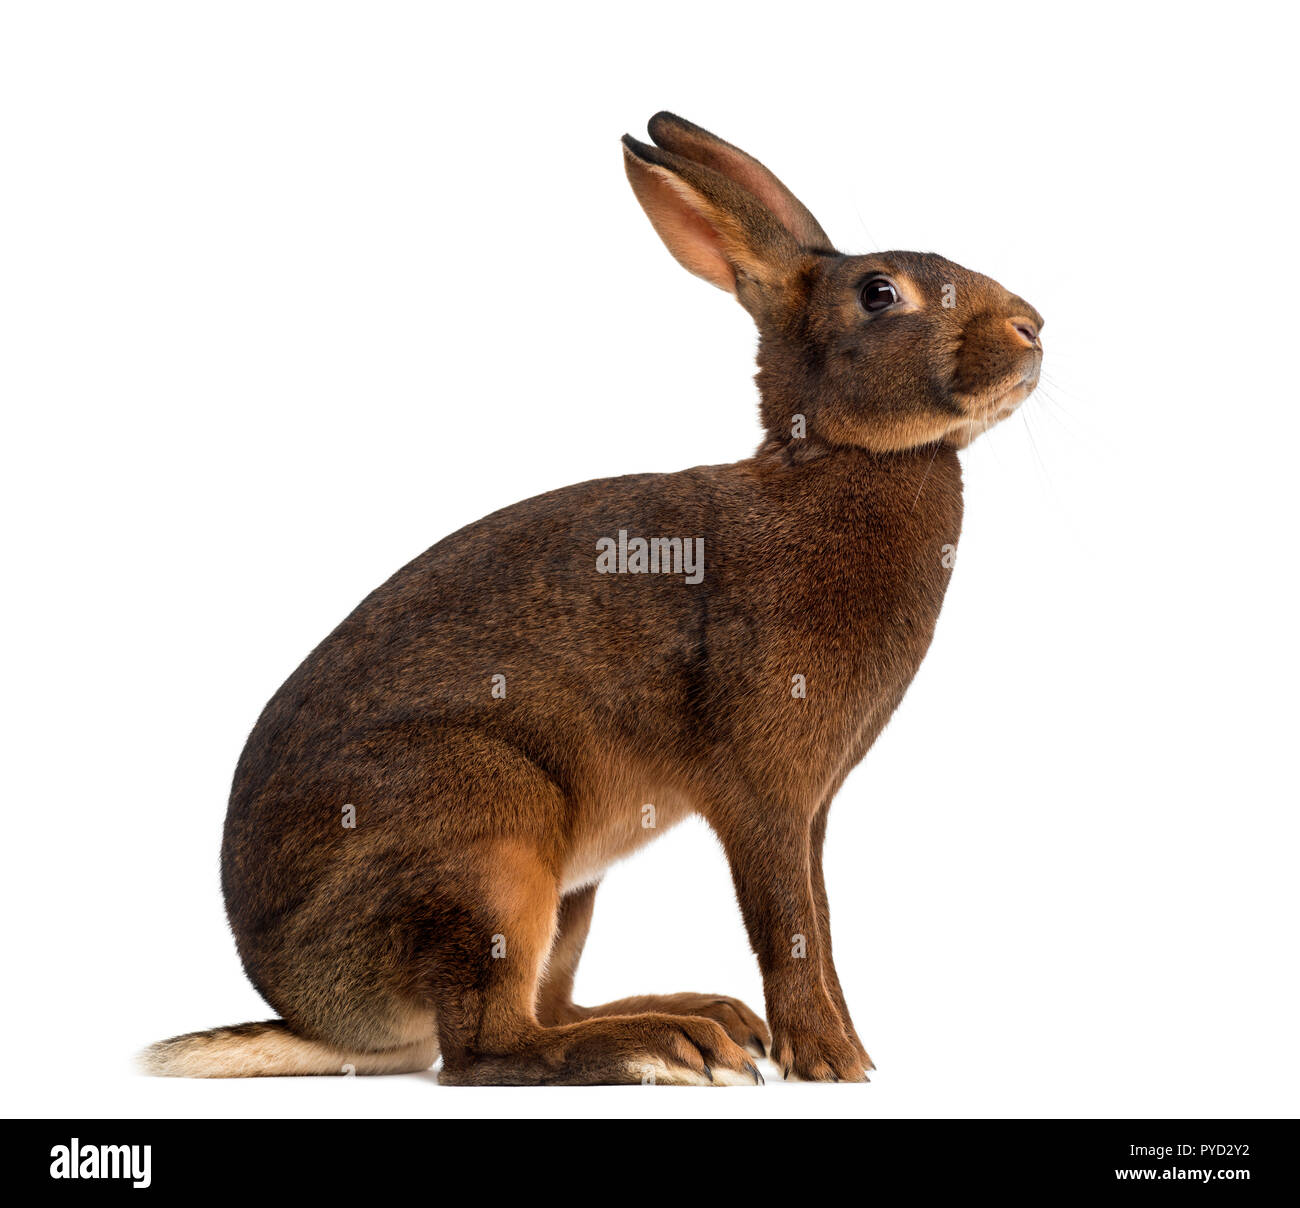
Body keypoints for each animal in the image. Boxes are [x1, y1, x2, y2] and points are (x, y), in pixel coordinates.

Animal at [142, 111, 1043, 1085]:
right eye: (881, 294)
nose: (1033, 326)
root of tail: (318, 1018)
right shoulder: (766, 799)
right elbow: (790, 926)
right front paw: (833, 1061)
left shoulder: (813, 814)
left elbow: (822, 925)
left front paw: (840, 1049)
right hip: (487, 839)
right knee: (489, 1047)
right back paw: (663, 1043)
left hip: (565, 887)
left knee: (548, 1002)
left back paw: (702, 1020)